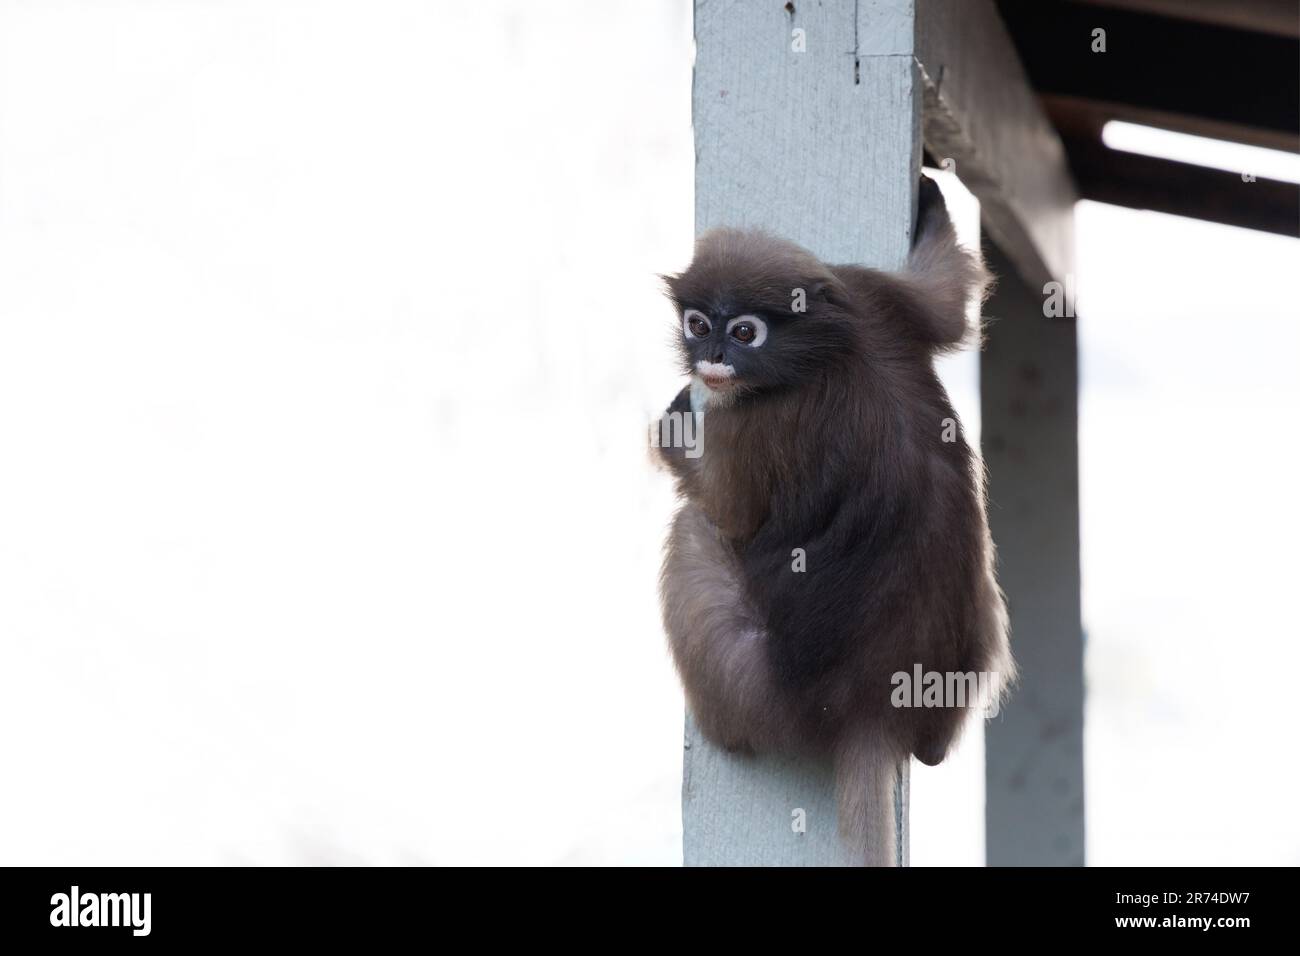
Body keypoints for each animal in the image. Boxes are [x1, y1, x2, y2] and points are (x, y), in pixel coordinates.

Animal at [654, 175, 1014, 865]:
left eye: (744, 332)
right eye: (698, 324)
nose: (712, 355)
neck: (825, 346)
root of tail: (873, 710)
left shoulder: (752, 419)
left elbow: (729, 510)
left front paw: (675, 427)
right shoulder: (869, 292)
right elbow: (946, 302)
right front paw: (931, 199)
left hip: (755, 688)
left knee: (692, 529)